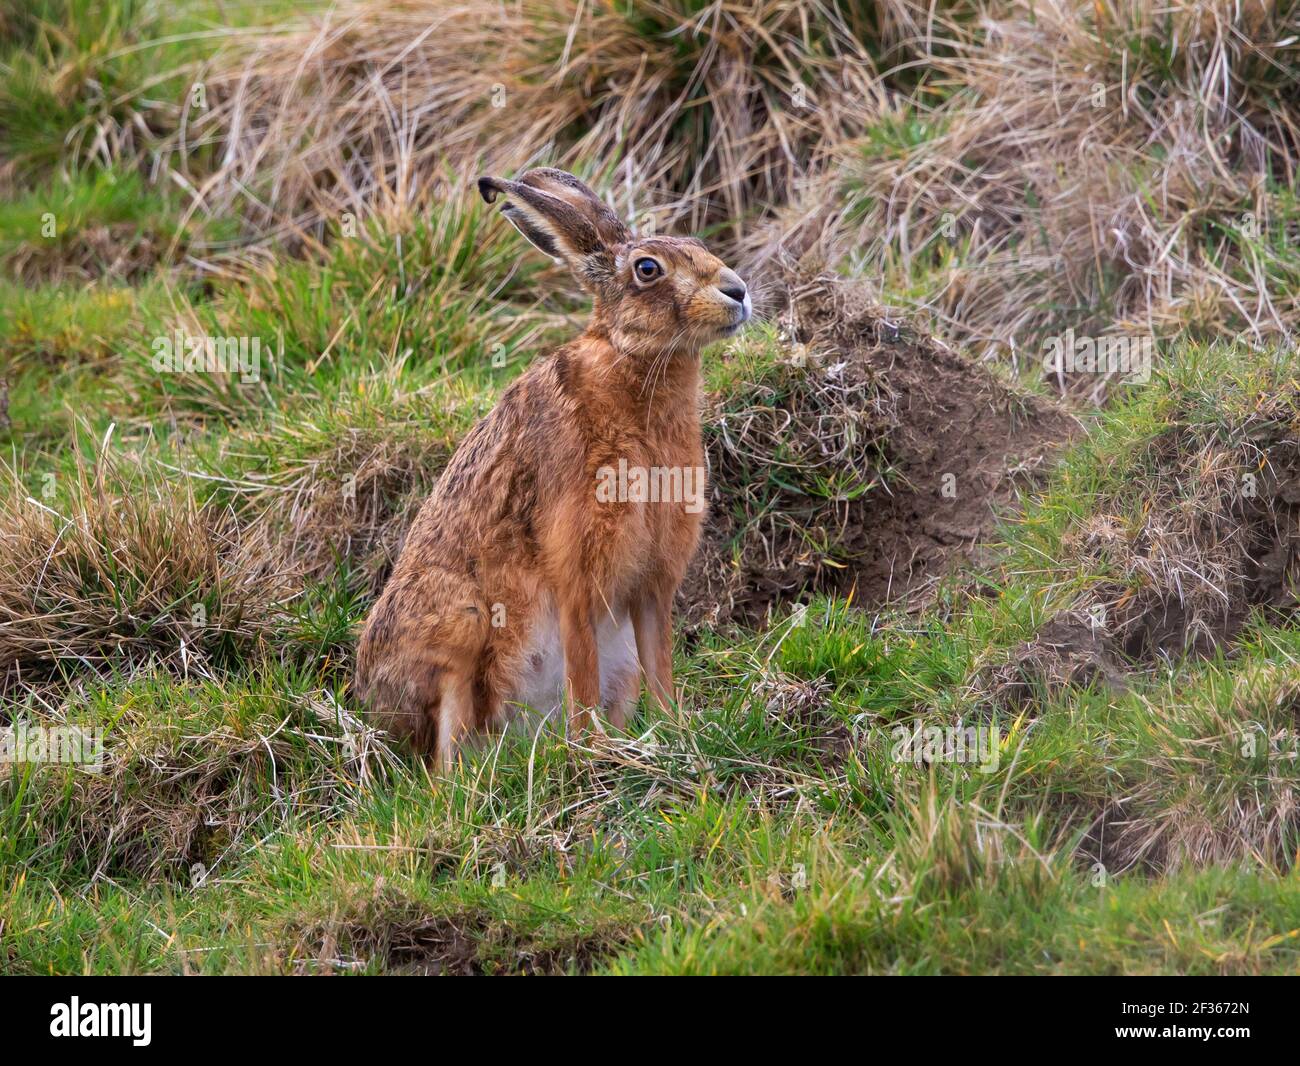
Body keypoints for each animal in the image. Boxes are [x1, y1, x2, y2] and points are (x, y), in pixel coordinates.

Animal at [355, 167, 751, 767]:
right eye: (648, 269)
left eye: (699, 244)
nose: (737, 290)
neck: (630, 367)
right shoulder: (576, 573)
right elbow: (580, 666)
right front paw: (593, 747)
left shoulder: (653, 582)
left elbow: (660, 662)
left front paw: (674, 729)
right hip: (457, 624)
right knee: (444, 753)